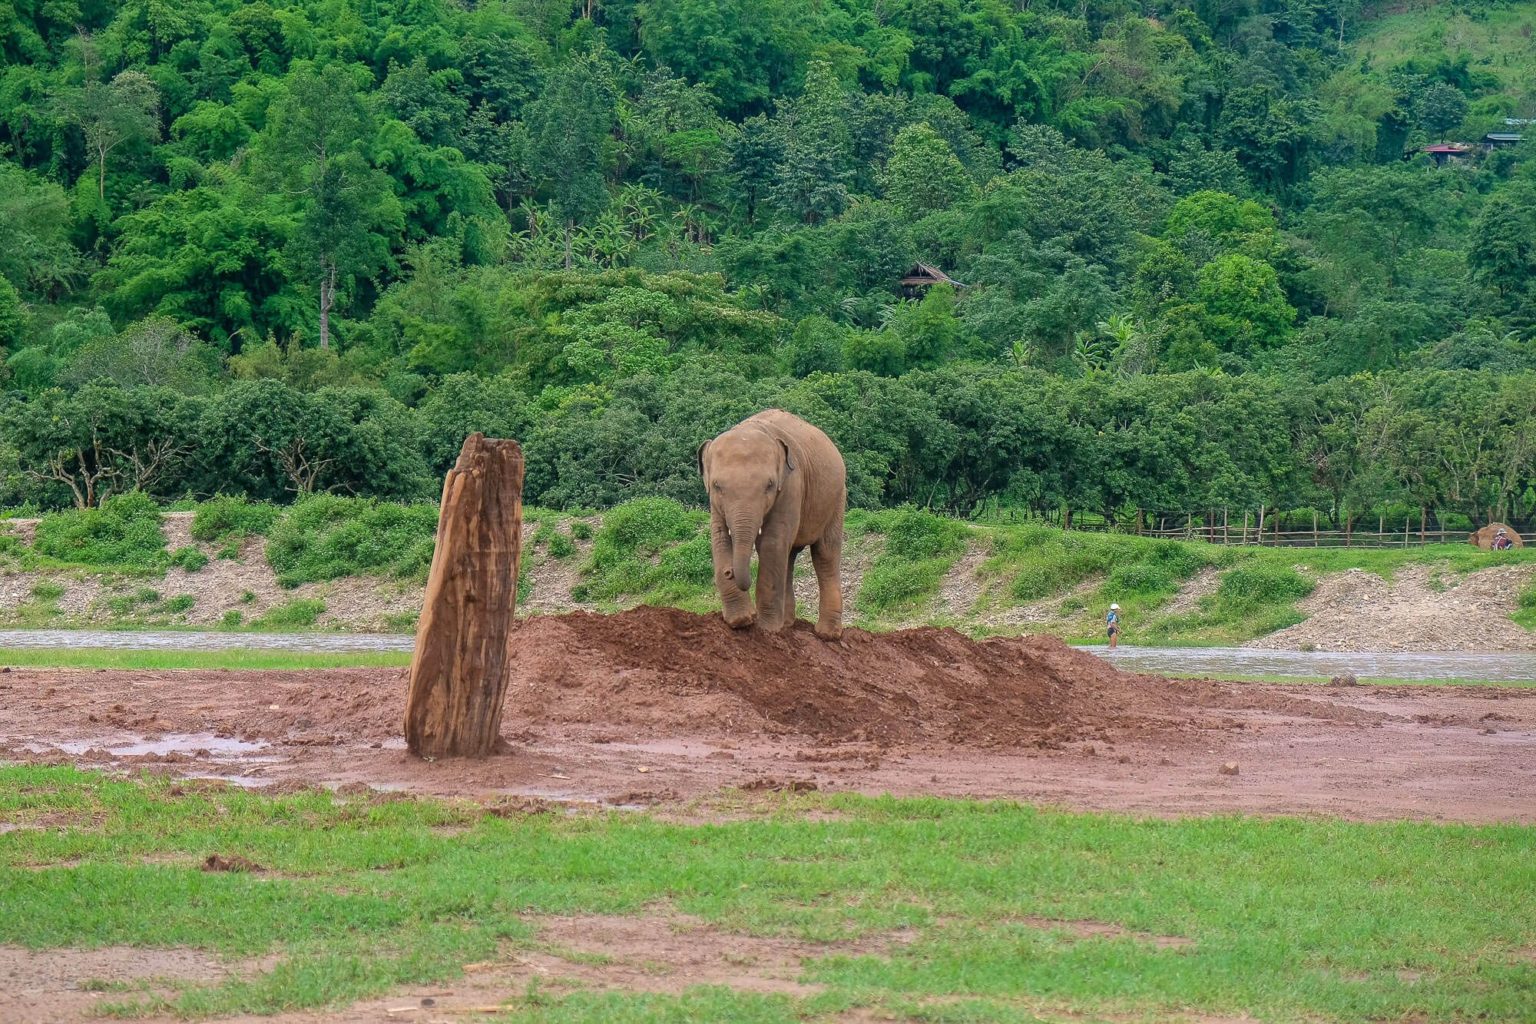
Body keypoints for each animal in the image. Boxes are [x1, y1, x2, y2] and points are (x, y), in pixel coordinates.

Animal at [697, 410, 846, 639]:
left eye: (769, 485)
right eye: (717, 485)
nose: (730, 572)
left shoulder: (792, 485)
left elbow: (771, 543)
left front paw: (766, 630)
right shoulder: (714, 503)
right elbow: (720, 537)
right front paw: (740, 621)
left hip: (837, 498)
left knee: (825, 554)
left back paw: (827, 635)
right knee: (790, 557)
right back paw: (787, 624)